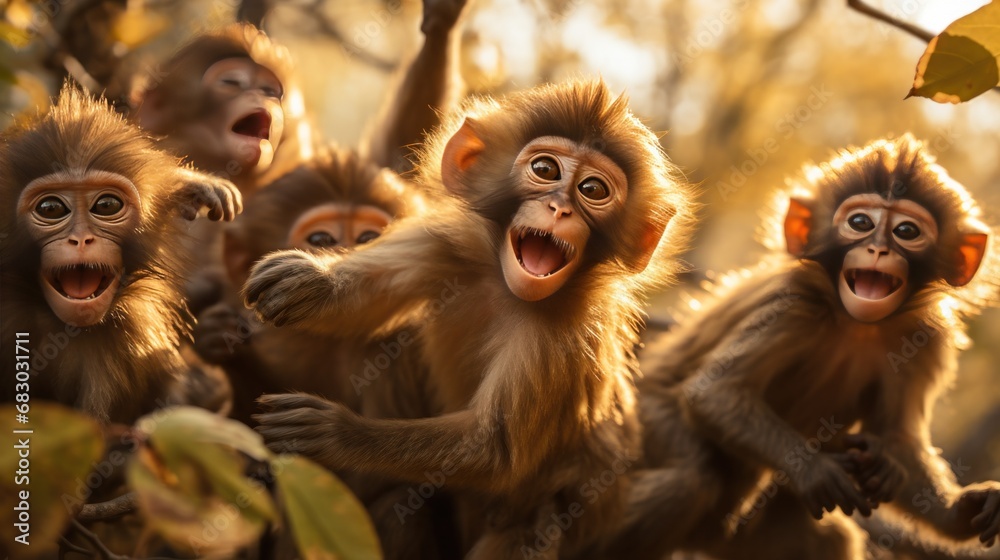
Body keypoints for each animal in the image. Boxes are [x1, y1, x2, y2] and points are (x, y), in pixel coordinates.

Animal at [243, 80, 693, 558]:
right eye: (545, 169)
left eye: (593, 189)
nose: (560, 209)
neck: (504, 289)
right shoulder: (445, 246)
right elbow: (366, 301)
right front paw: (312, 282)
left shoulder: (566, 334)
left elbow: (494, 451)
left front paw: (336, 433)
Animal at [600, 134, 1000, 560]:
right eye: (861, 223)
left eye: (906, 230)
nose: (879, 250)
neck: (857, 325)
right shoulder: (792, 307)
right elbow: (713, 393)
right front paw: (813, 469)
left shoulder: (926, 335)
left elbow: (898, 439)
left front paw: (960, 511)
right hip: (641, 427)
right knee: (689, 479)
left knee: (829, 539)